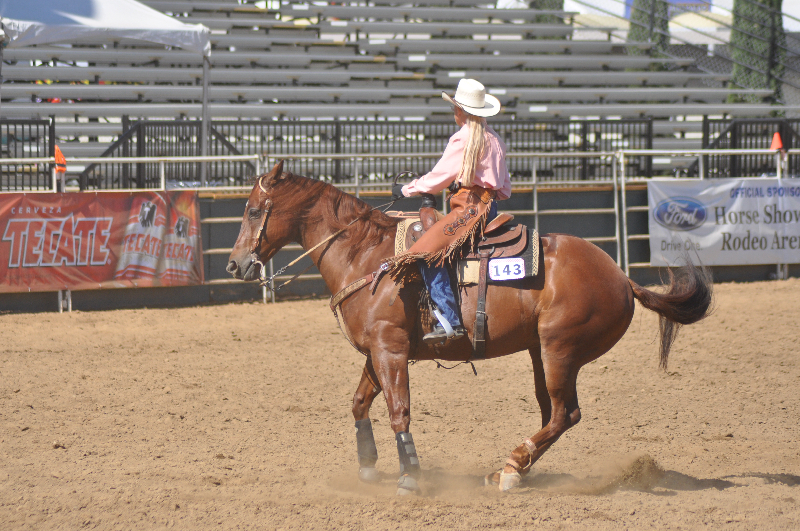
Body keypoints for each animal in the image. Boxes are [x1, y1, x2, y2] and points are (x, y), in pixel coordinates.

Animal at [226, 160, 713, 494]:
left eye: (252, 210)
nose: (235, 264)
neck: (365, 256)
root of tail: (622, 278)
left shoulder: (390, 350)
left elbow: (398, 410)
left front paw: (410, 476)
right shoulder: (376, 352)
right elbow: (360, 405)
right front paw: (367, 466)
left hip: (560, 351)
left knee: (563, 414)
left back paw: (511, 468)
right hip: (541, 354)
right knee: (553, 414)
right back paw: (509, 469)